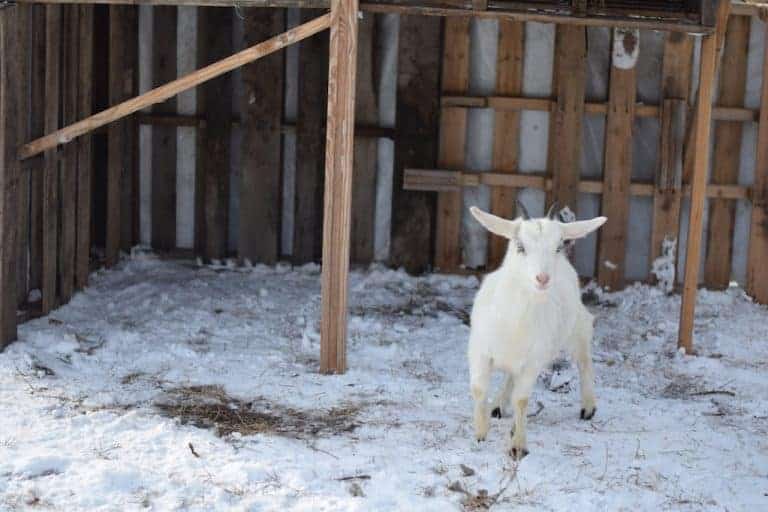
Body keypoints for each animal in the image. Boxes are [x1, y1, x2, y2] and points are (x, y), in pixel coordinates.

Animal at [467, 203, 607, 460]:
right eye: (520, 246)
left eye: (558, 246)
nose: (542, 278)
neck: (515, 321)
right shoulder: (479, 351)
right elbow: (479, 388)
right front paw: (481, 431)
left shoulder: (533, 361)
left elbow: (522, 400)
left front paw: (518, 445)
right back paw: (498, 405)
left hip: (576, 327)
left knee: (583, 360)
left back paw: (588, 406)